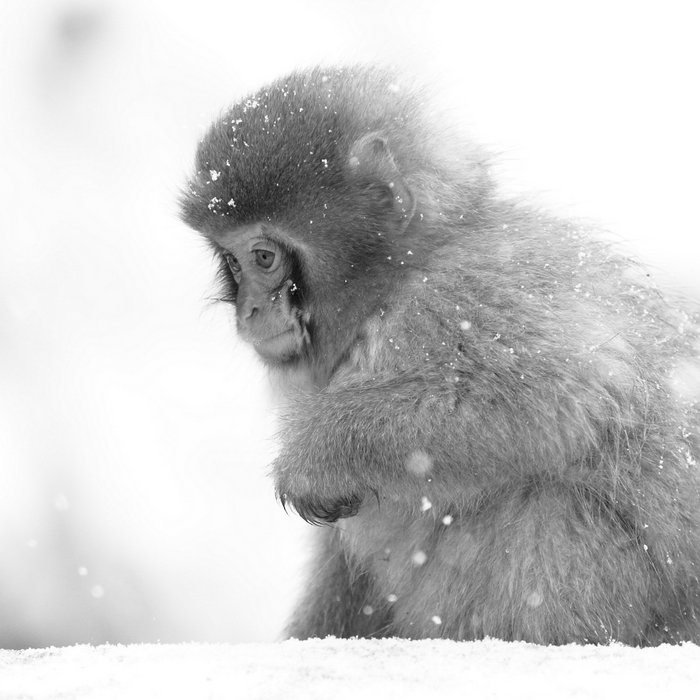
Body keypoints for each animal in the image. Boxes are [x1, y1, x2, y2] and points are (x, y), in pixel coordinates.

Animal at [180, 66, 700, 645]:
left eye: (264, 257)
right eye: (232, 262)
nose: (248, 310)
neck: (400, 276)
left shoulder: (459, 295)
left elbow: (568, 392)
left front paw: (315, 458)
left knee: (545, 504)